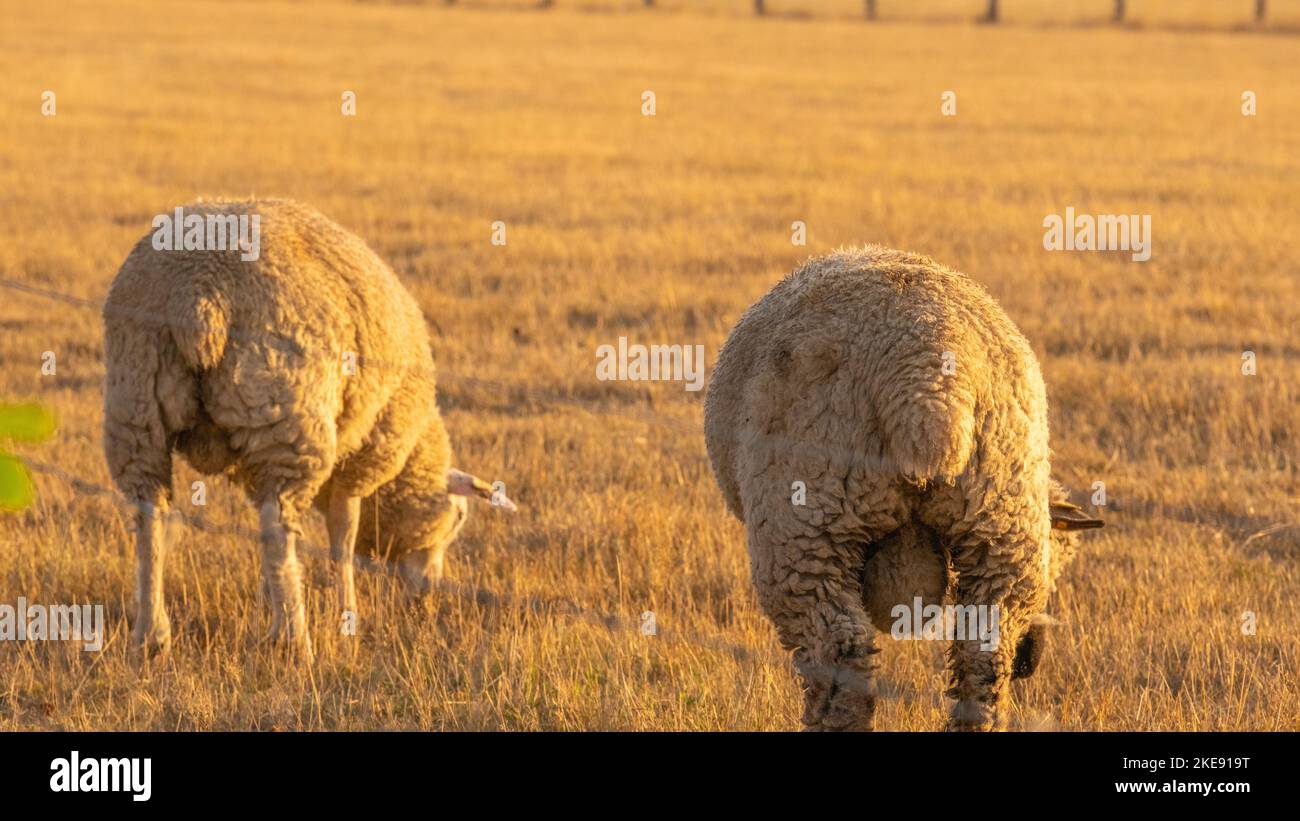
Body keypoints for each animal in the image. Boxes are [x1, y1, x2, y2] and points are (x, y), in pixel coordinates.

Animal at [98, 200, 514, 659]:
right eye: (458, 519)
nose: (429, 594)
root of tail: (198, 296)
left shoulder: (255, 460)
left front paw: (270, 595)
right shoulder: (359, 462)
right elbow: (343, 537)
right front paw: (344, 614)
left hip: (137, 407)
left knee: (150, 517)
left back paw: (151, 636)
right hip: (286, 418)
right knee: (278, 525)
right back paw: (293, 639)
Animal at [707, 245, 1102, 732]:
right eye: (1059, 561)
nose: (1032, 660)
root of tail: (927, 376)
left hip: (804, 525)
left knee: (840, 653)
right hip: (1001, 521)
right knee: (982, 654)